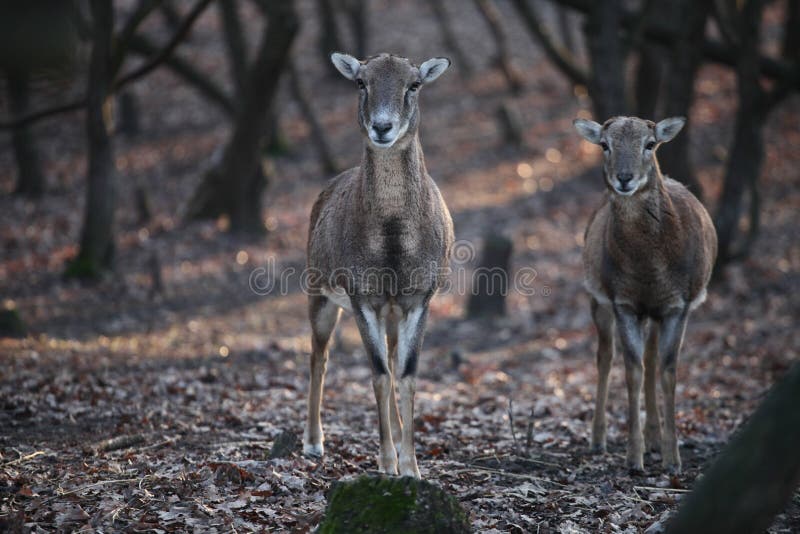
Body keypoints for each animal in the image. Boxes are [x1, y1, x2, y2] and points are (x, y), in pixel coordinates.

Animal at [303, 52, 454, 479]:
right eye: (361, 82)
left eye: (414, 84)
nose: (382, 127)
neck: (391, 250)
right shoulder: (361, 298)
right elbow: (379, 376)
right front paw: (387, 464)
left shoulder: (418, 298)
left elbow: (406, 375)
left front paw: (413, 467)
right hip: (317, 290)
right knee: (319, 356)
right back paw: (313, 442)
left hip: (391, 312)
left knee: (388, 355)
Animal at [573, 116, 717, 473]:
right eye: (605, 144)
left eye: (650, 144)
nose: (624, 179)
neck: (650, 271)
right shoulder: (623, 302)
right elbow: (632, 371)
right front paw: (633, 458)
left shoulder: (679, 304)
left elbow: (668, 371)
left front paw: (672, 458)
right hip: (598, 299)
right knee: (605, 356)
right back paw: (598, 439)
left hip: (655, 313)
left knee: (652, 358)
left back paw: (654, 436)